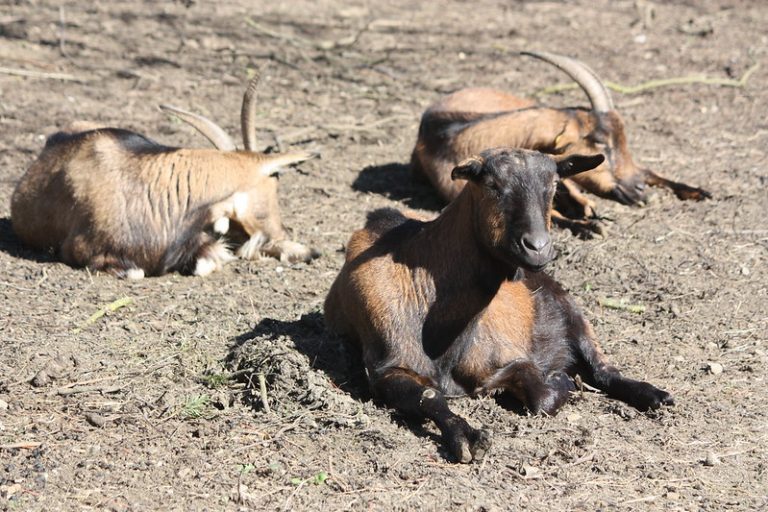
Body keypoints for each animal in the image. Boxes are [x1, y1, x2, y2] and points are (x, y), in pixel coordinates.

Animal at [324, 148, 673, 463]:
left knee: (603, 369)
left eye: (554, 184)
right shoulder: (386, 368)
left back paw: (656, 396)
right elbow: (429, 394)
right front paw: (467, 438)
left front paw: (560, 380)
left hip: (570, 310)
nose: (537, 247)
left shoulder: (508, 356)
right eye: (492, 184)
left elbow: (539, 393)